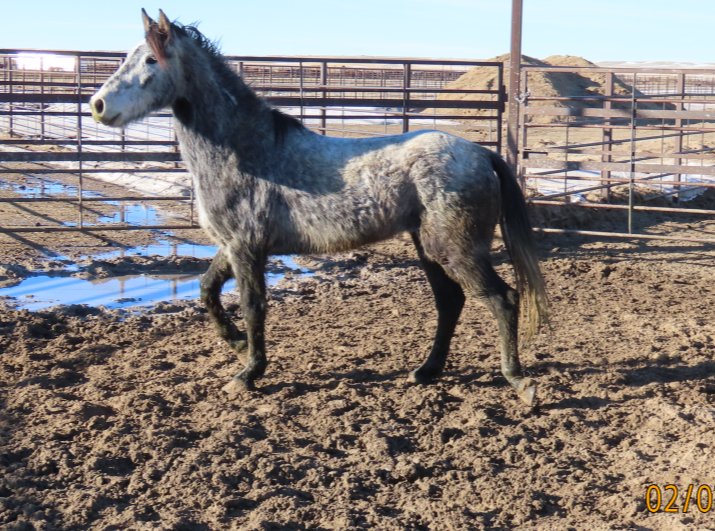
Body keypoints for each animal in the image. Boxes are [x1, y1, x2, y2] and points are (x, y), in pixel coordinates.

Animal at [90, 10, 549, 405]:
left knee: (503, 299)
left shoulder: (246, 249)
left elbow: (253, 306)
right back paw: (426, 371)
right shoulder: (231, 246)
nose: (97, 106)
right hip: (429, 248)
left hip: (456, 250)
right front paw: (237, 345)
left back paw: (518, 381)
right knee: (451, 302)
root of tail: (481, 153)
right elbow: (207, 292)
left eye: (151, 59)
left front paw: (248, 374)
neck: (245, 151)